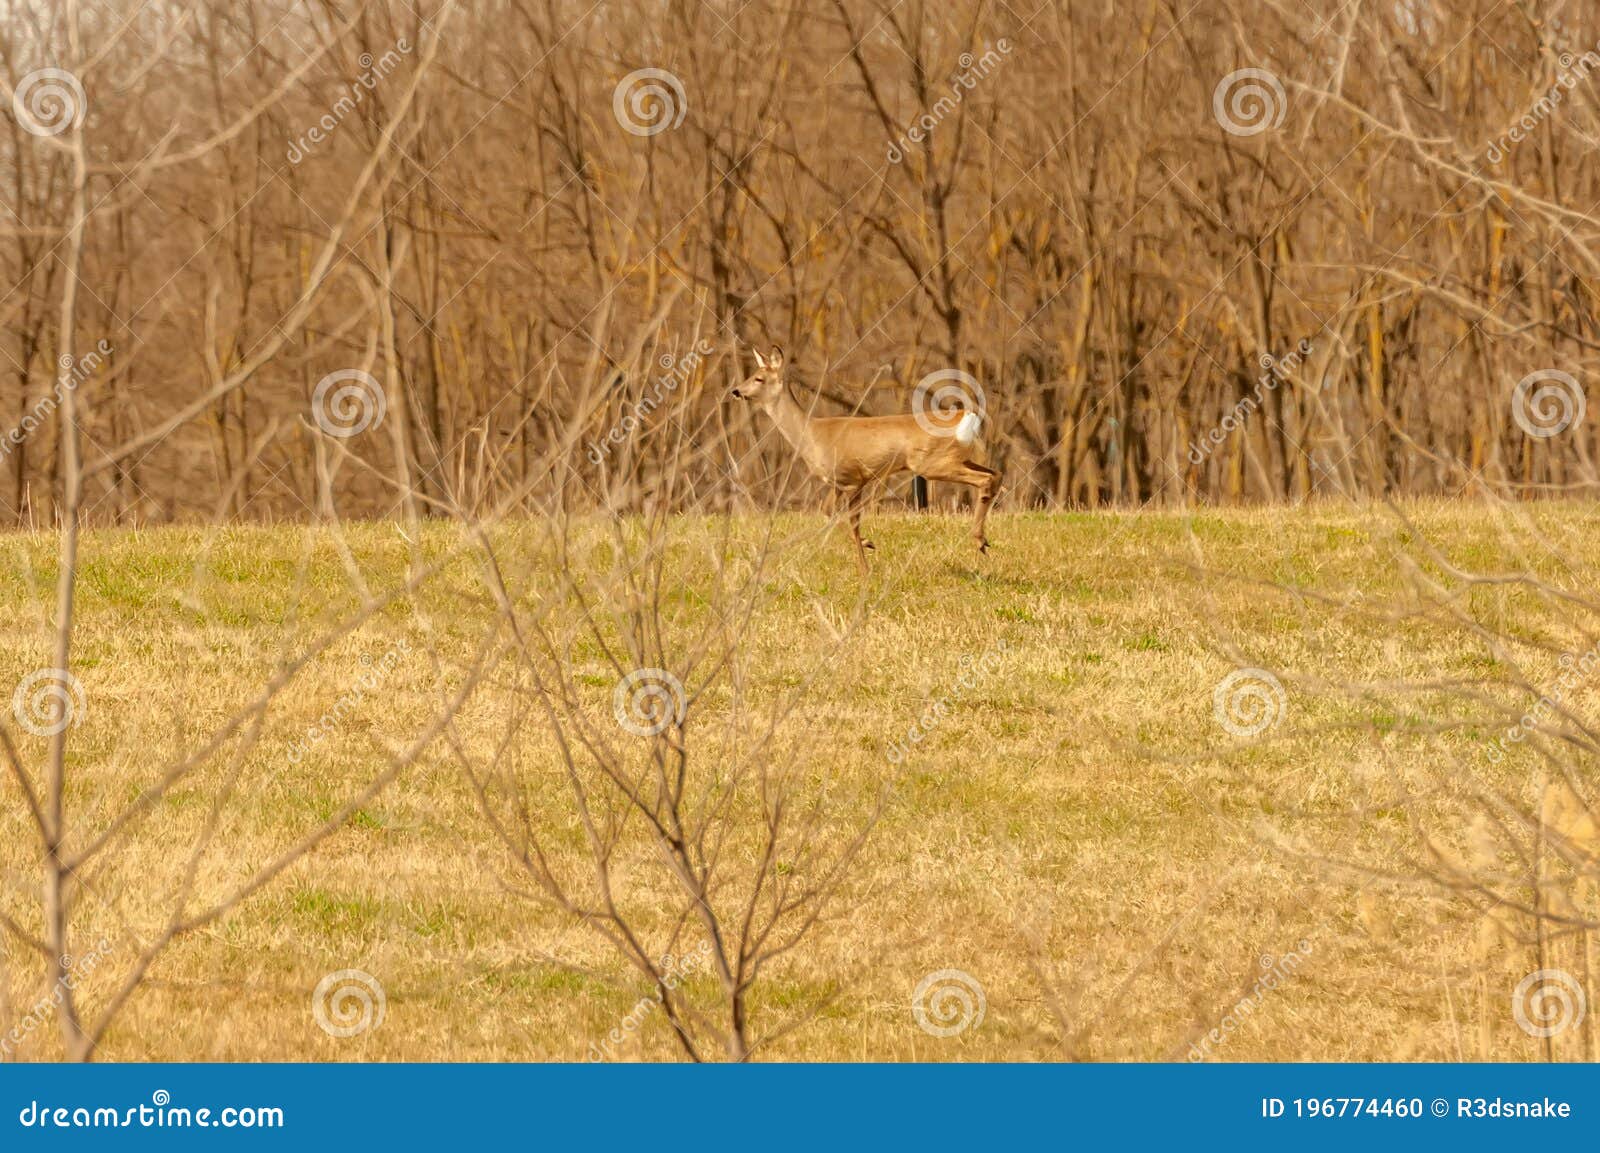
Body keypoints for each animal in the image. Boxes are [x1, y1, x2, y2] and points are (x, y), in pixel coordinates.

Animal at [730, 346, 1001, 573]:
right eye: (753, 374)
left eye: (758, 378)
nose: (736, 391)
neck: (810, 434)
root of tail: (966, 415)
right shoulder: (839, 483)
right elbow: (827, 512)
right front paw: (868, 547)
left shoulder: (852, 479)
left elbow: (851, 521)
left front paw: (865, 563)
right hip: (955, 459)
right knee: (995, 474)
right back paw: (983, 539)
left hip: (932, 464)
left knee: (984, 479)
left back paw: (979, 540)